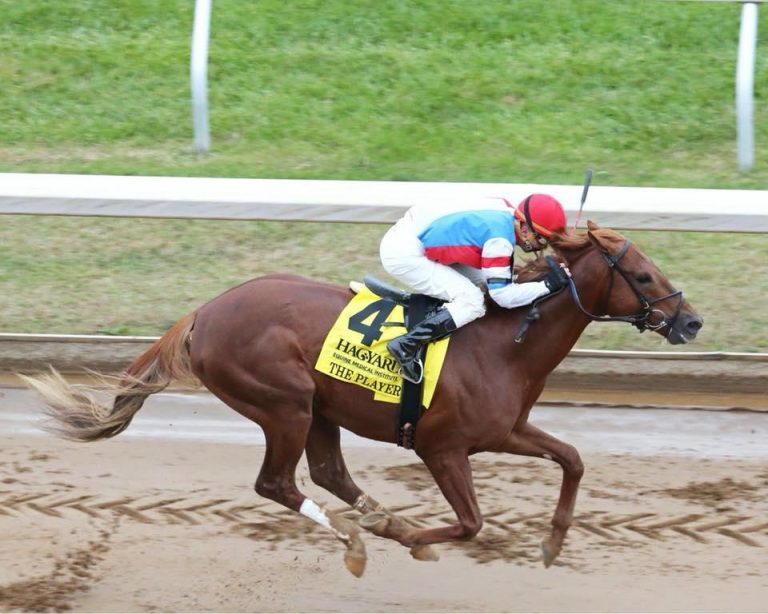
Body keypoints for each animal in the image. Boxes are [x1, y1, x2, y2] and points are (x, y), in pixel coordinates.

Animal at [22, 221, 703, 577]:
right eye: (644, 276)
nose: (691, 321)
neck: (503, 342)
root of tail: (203, 313)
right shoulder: (441, 447)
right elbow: (471, 522)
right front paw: (415, 537)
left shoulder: (505, 431)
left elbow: (573, 458)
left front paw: (553, 541)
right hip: (285, 402)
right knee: (278, 483)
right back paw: (358, 537)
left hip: (320, 409)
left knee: (328, 473)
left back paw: (375, 521)